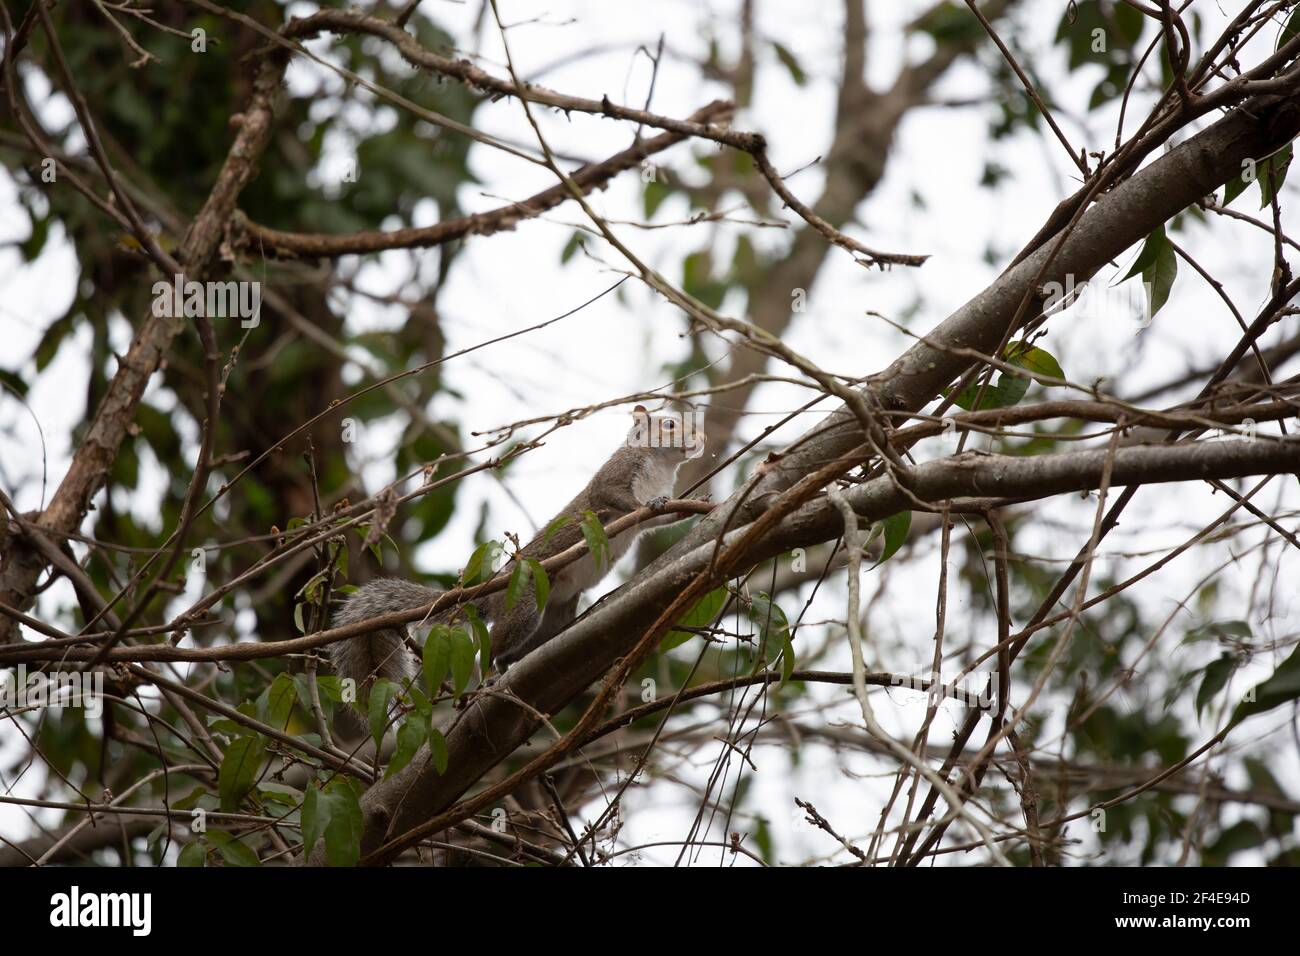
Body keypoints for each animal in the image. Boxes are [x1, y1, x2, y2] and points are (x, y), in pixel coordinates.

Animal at [330, 405, 706, 699]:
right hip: (523, 607)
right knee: (493, 649)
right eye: (669, 424)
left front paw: (689, 506)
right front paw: (649, 504)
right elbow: (615, 498)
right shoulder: (616, 475)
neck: (660, 466)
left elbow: (658, 520)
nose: (699, 439)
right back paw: (488, 676)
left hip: (552, 618)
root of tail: (492, 596)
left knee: (518, 650)